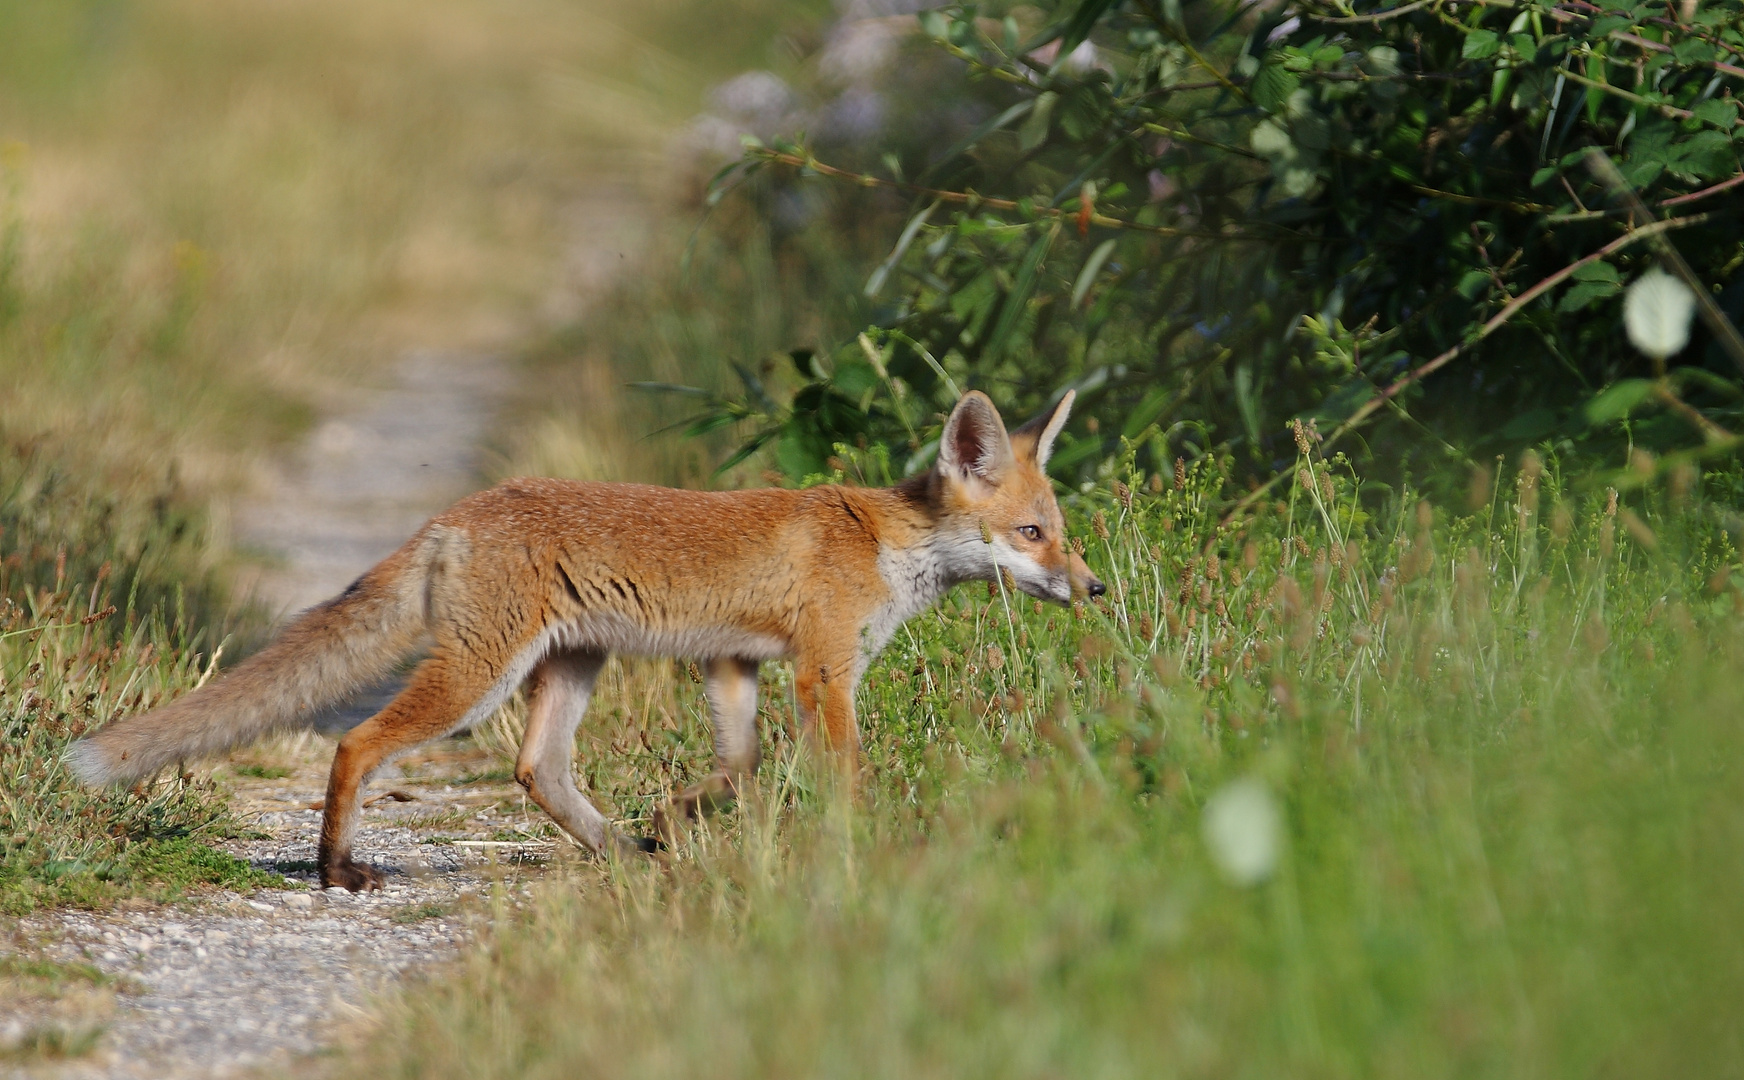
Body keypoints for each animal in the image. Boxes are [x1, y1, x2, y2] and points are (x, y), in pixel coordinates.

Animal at [71, 392, 1102, 893]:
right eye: (1032, 534)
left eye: (1062, 531)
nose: (1095, 588)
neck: (885, 544)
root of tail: (459, 511)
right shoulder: (821, 669)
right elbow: (840, 771)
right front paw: (867, 851)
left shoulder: (732, 661)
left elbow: (738, 765)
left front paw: (682, 819)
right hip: (478, 676)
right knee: (357, 743)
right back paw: (334, 870)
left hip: (571, 666)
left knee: (538, 770)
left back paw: (624, 851)